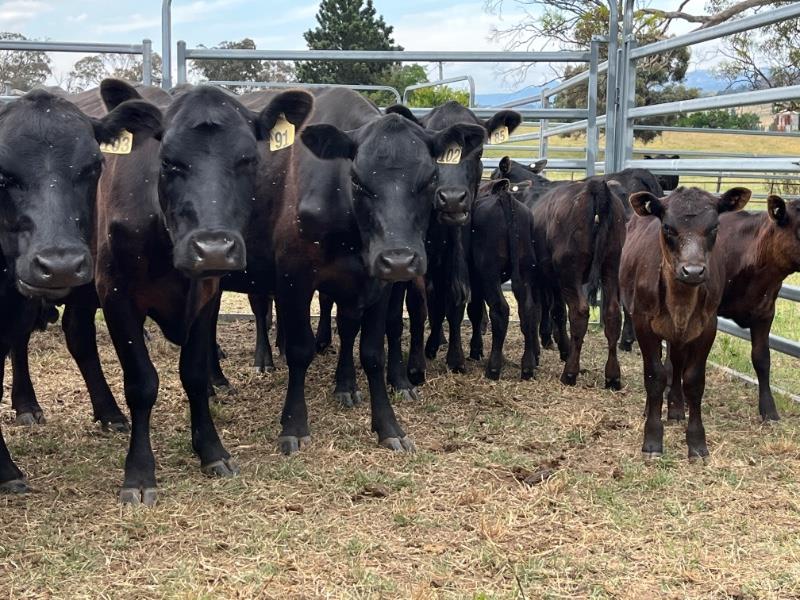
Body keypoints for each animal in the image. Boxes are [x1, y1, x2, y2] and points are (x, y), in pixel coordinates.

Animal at [73, 80, 314, 505]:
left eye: (248, 160)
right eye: (168, 161)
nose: (213, 248)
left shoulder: (207, 292)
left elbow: (196, 373)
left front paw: (211, 451)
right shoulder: (115, 293)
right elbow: (142, 384)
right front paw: (139, 474)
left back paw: (108, 414)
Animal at [273, 88, 484, 454]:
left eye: (429, 178)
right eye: (356, 180)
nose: (399, 260)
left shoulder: (377, 283)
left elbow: (374, 351)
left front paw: (389, 426)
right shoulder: (293, 279)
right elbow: (299, 352)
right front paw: (294, 426)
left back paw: (345, 384)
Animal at [467, 178, 540, 379]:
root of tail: (505, 198)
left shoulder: (475, 279)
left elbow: (475, 311)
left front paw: (476, 349)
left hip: (489, 273)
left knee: (500, 309)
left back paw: (493, 368)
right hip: (525, 269)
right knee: (528, 310)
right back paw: (528, 366)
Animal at [620, 186, 750, 461]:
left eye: (714, 227)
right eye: (668, 227)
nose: (693, 271)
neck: (680, 300)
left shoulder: (707, 327)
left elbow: (693, 380)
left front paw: (697, 442)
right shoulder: (643, 324)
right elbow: (654, 376)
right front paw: (652, 438)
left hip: (680, 336)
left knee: (676, 365)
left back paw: (677, 408)